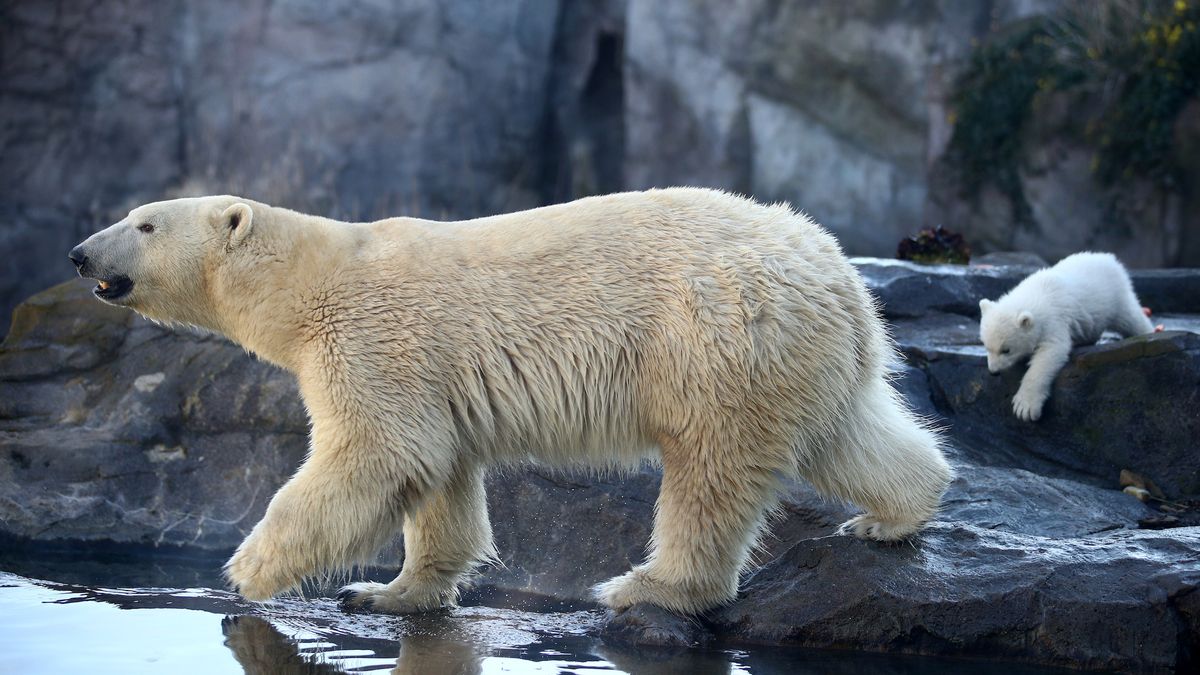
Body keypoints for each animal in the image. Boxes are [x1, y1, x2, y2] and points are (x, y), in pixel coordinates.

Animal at [69, 187, 951, 615]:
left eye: (143, 224)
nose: (79, 253)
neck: (314, 278)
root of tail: (838, 272)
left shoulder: (376, 340)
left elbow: (377, 454)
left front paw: (247, 571)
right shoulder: (435, 376)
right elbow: (441, 476)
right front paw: (390, 591)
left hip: (715, 336)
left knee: (711, 470)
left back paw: (644, 586)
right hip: (797, 350)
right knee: (847, 432)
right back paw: (893, 514)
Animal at [979, 251, 1156, 422]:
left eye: (1006, 350)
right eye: (986, 346)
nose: (993, 371)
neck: (1037, 295)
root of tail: (1109, 259)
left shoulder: (1054, 320)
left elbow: (1051, 352)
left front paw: (1025, 406)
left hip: (1115, 296)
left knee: (1131, 318)